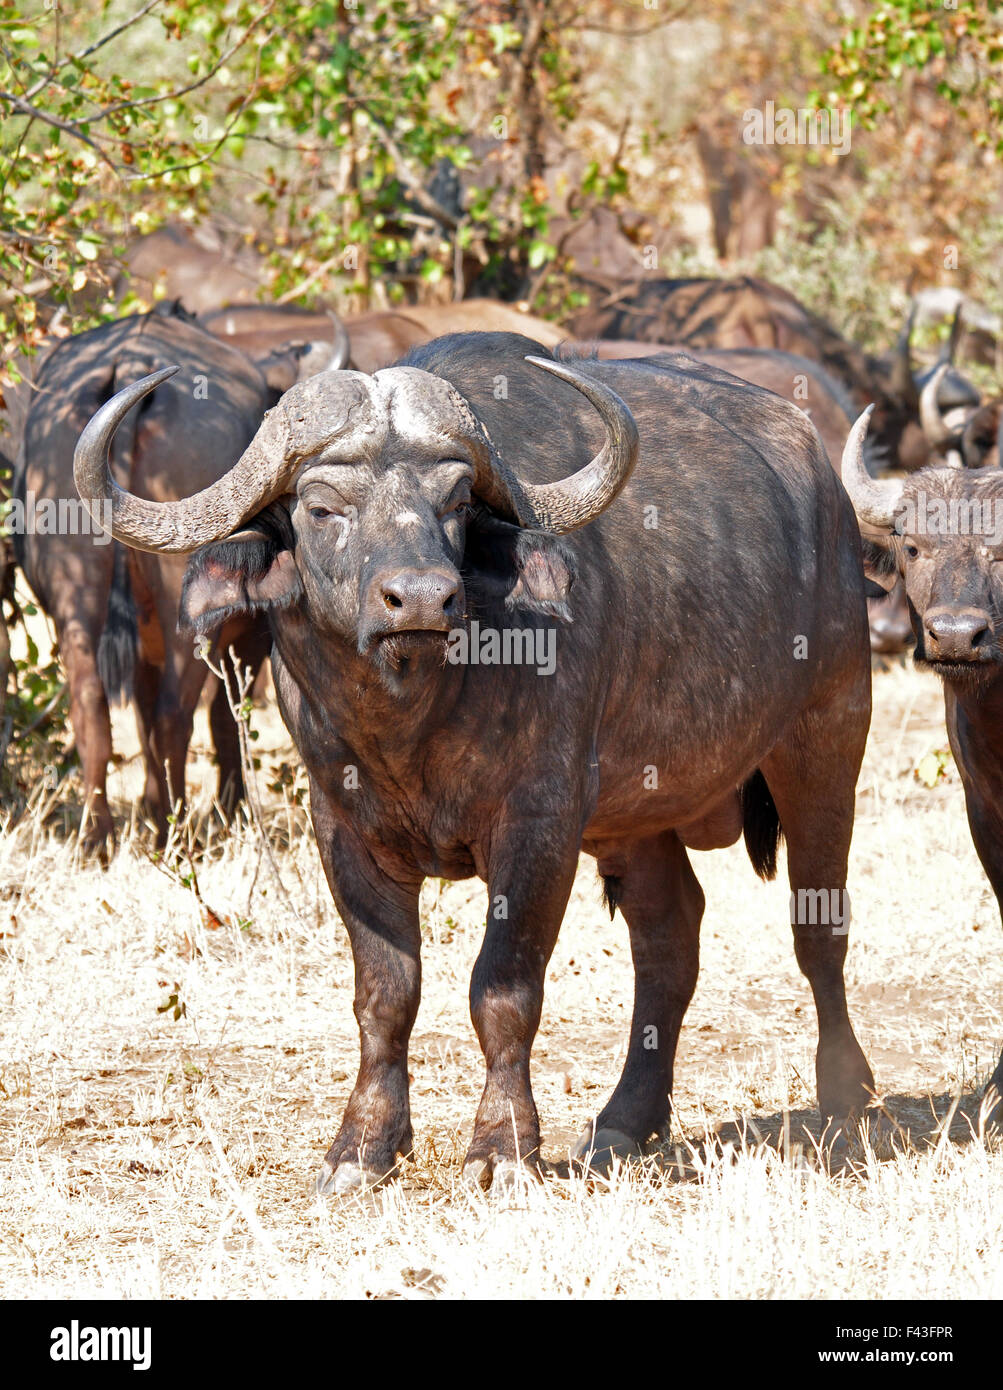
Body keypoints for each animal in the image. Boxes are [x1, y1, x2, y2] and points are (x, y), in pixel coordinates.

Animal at [73, 331, 876, 1189]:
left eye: (456, 504)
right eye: (321, 508)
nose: (423, 599)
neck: (411, 719)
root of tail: (825, 487)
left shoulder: (539, 822)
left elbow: (502, 987)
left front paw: (502, 1147)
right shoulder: (342, 829)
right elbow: (384, 993)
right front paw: (363, 1146)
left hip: (826, 737)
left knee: (818, 925)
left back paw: (843, 1096)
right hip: (634, 817)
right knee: (668, 936)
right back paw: (625, 1121)